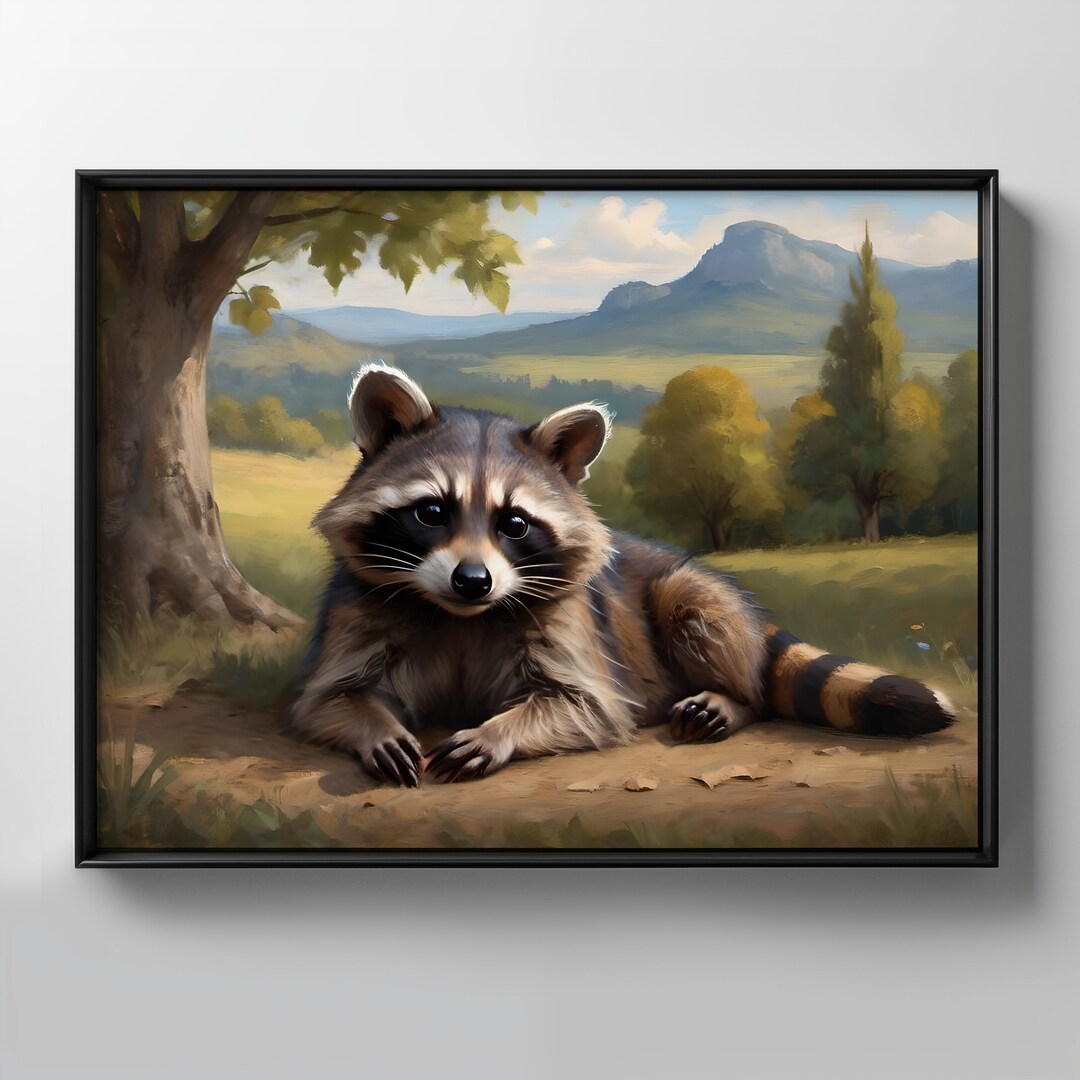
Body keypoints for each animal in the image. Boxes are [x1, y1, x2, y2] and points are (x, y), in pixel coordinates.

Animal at [292, 364, 956, 786]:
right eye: (431, 512)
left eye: (514, 523)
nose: (473, 580)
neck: (459, 614)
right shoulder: (357, 610)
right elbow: (325, 700)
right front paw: (373, 724)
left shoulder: (573, 624)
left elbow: (588, 704)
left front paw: (500, 730)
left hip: (689, 590)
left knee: (707, 618)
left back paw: (734, 697)